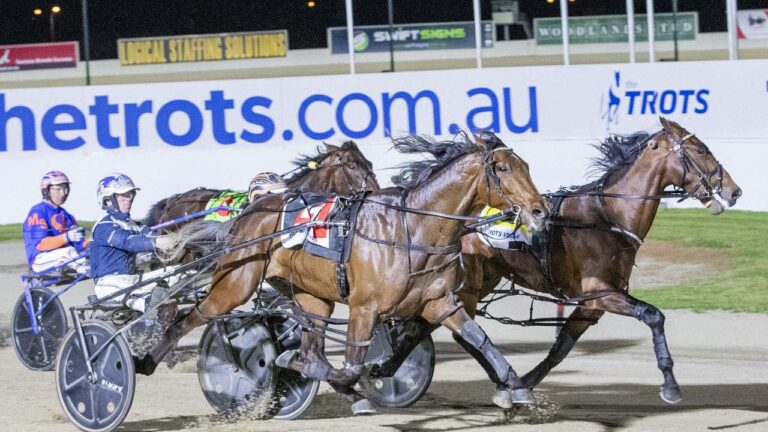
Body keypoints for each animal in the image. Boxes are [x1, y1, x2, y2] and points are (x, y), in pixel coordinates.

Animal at [374, 118, 742, 406]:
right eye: (701, 150)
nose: (734, 190)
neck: (606, 219)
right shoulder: (603, 292)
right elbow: (654, 316)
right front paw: (670, 385)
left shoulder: (592, 303)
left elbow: (560, 350)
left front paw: (521, 386)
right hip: (463, 286)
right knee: (437, 328)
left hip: (478, 283)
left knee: (436, 328)